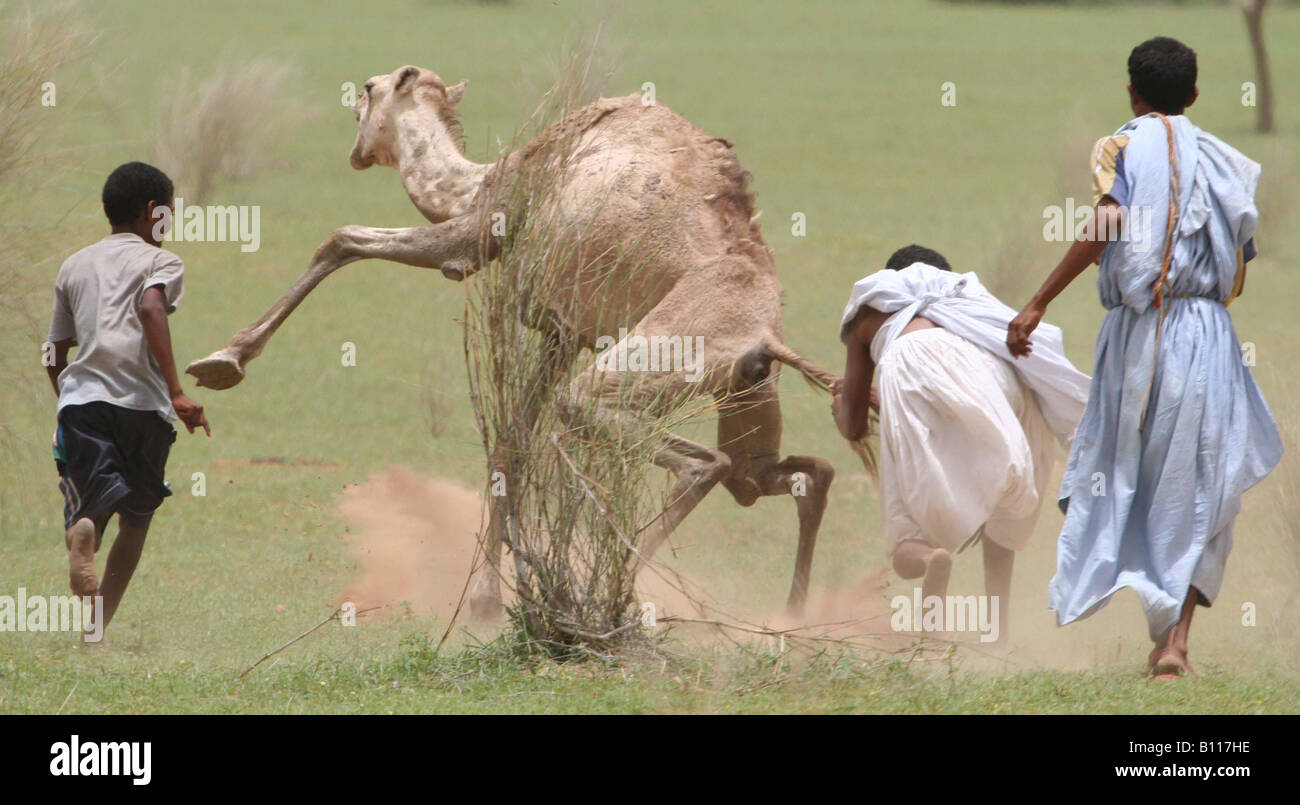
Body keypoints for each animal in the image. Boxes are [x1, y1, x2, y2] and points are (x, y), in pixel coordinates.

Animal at [186, 65, 840, 620]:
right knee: (786, 476)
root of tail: (766, 336)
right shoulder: (561, 330)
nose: (354, 142)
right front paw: (495, 596)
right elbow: (510, 448)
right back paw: (791, 616)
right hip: (748, 393)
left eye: (368, 90)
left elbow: (343, 238)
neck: (483, 179)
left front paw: (222, 360)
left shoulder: (480, 236)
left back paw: (619, 591)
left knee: (697, 460)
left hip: (654, 359)